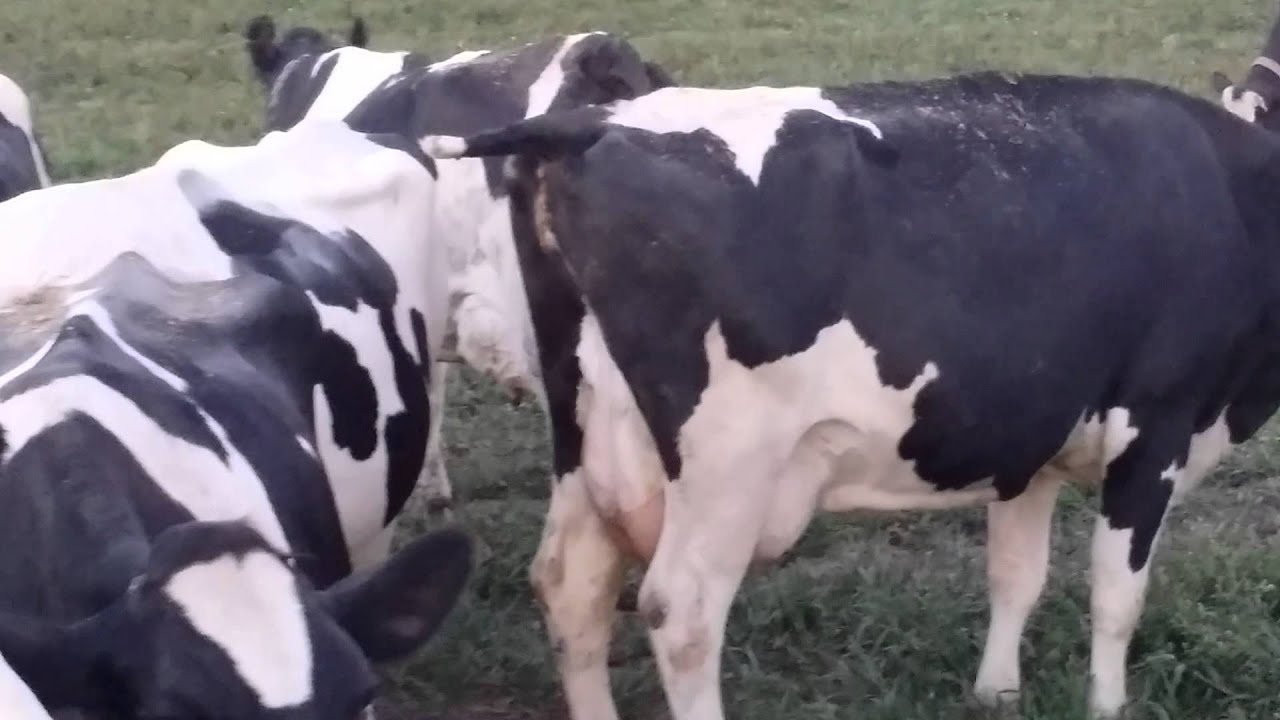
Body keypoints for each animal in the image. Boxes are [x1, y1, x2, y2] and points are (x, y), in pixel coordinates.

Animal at [420, 73, 1280, 720]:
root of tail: (590, 124)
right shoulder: (1157, 425)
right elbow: (1115, 594)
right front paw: (1105, 706)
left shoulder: (1026, 437)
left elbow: (1016, 574)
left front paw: (995, 693)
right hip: (726, 464)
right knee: (682, 610)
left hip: (580, 430)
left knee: (572, 586)